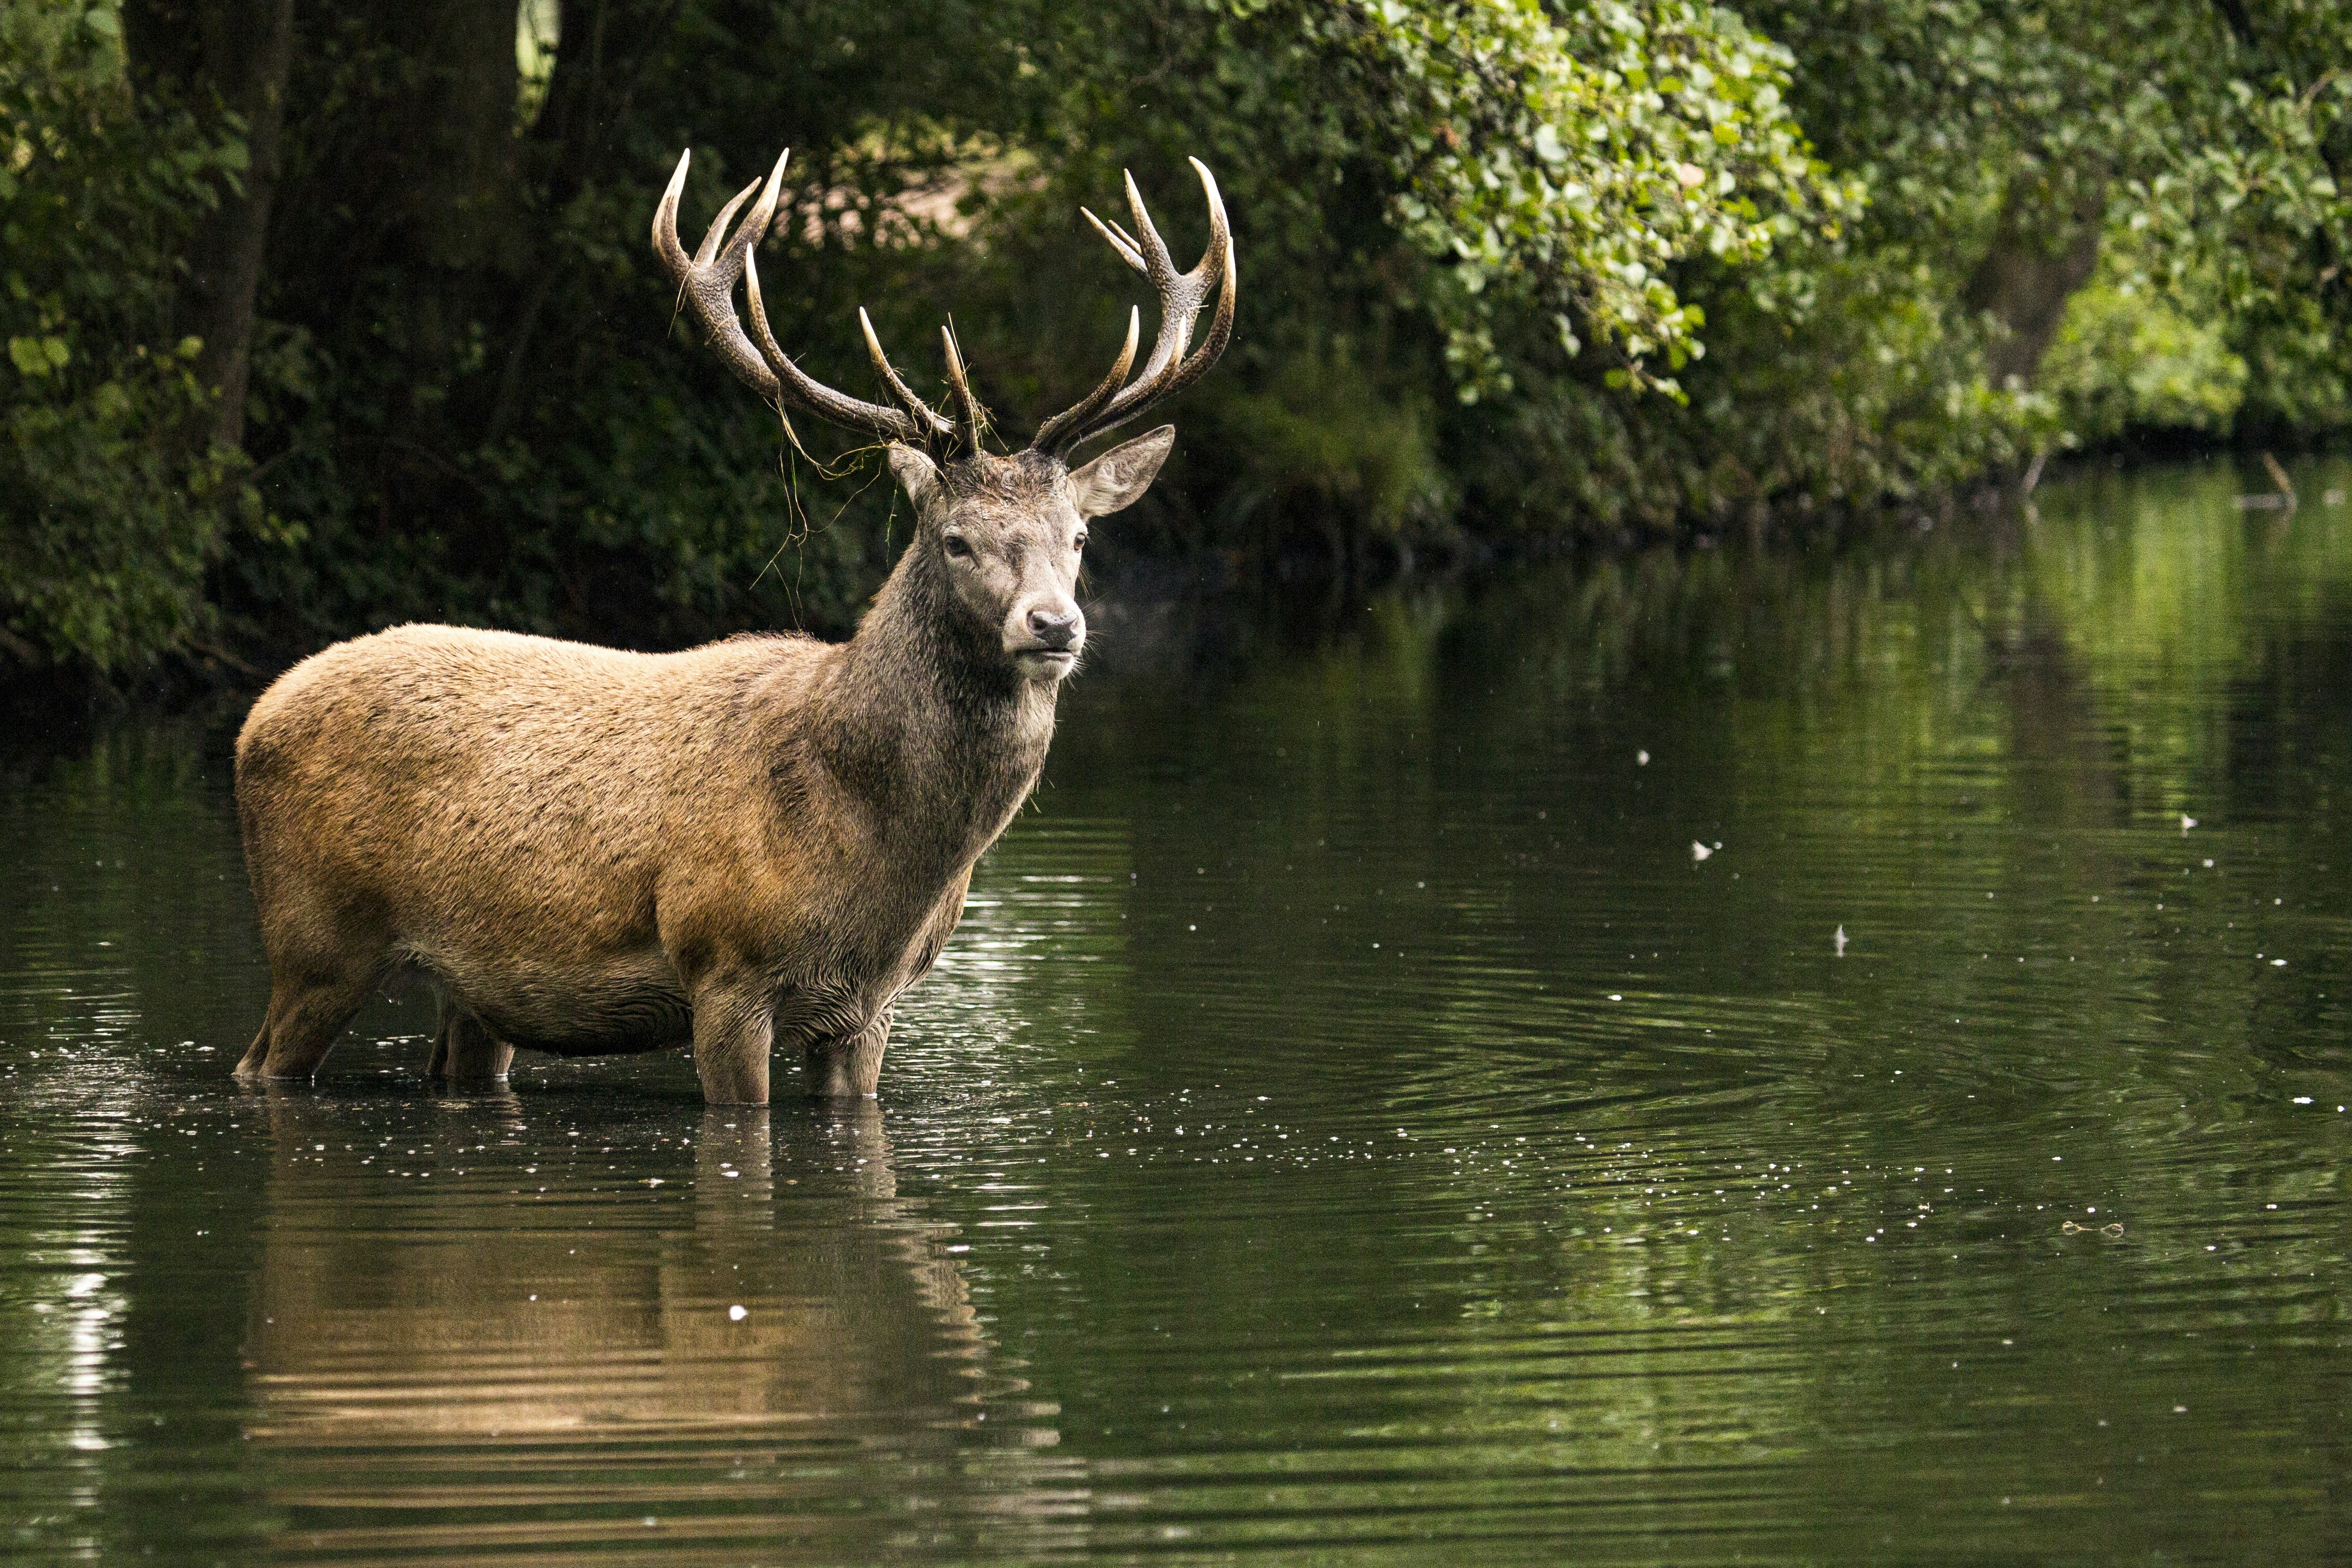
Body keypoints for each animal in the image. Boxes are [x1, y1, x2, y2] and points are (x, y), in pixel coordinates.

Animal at [231, 143, 1235, 1104]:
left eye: (1079, 535)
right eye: (956, 539)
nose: (1053, 625)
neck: (879, 869)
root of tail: (256, 715)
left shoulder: (872, 1009)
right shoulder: (723, 967)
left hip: (474, 992)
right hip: (315, 935)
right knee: (260, 1062)